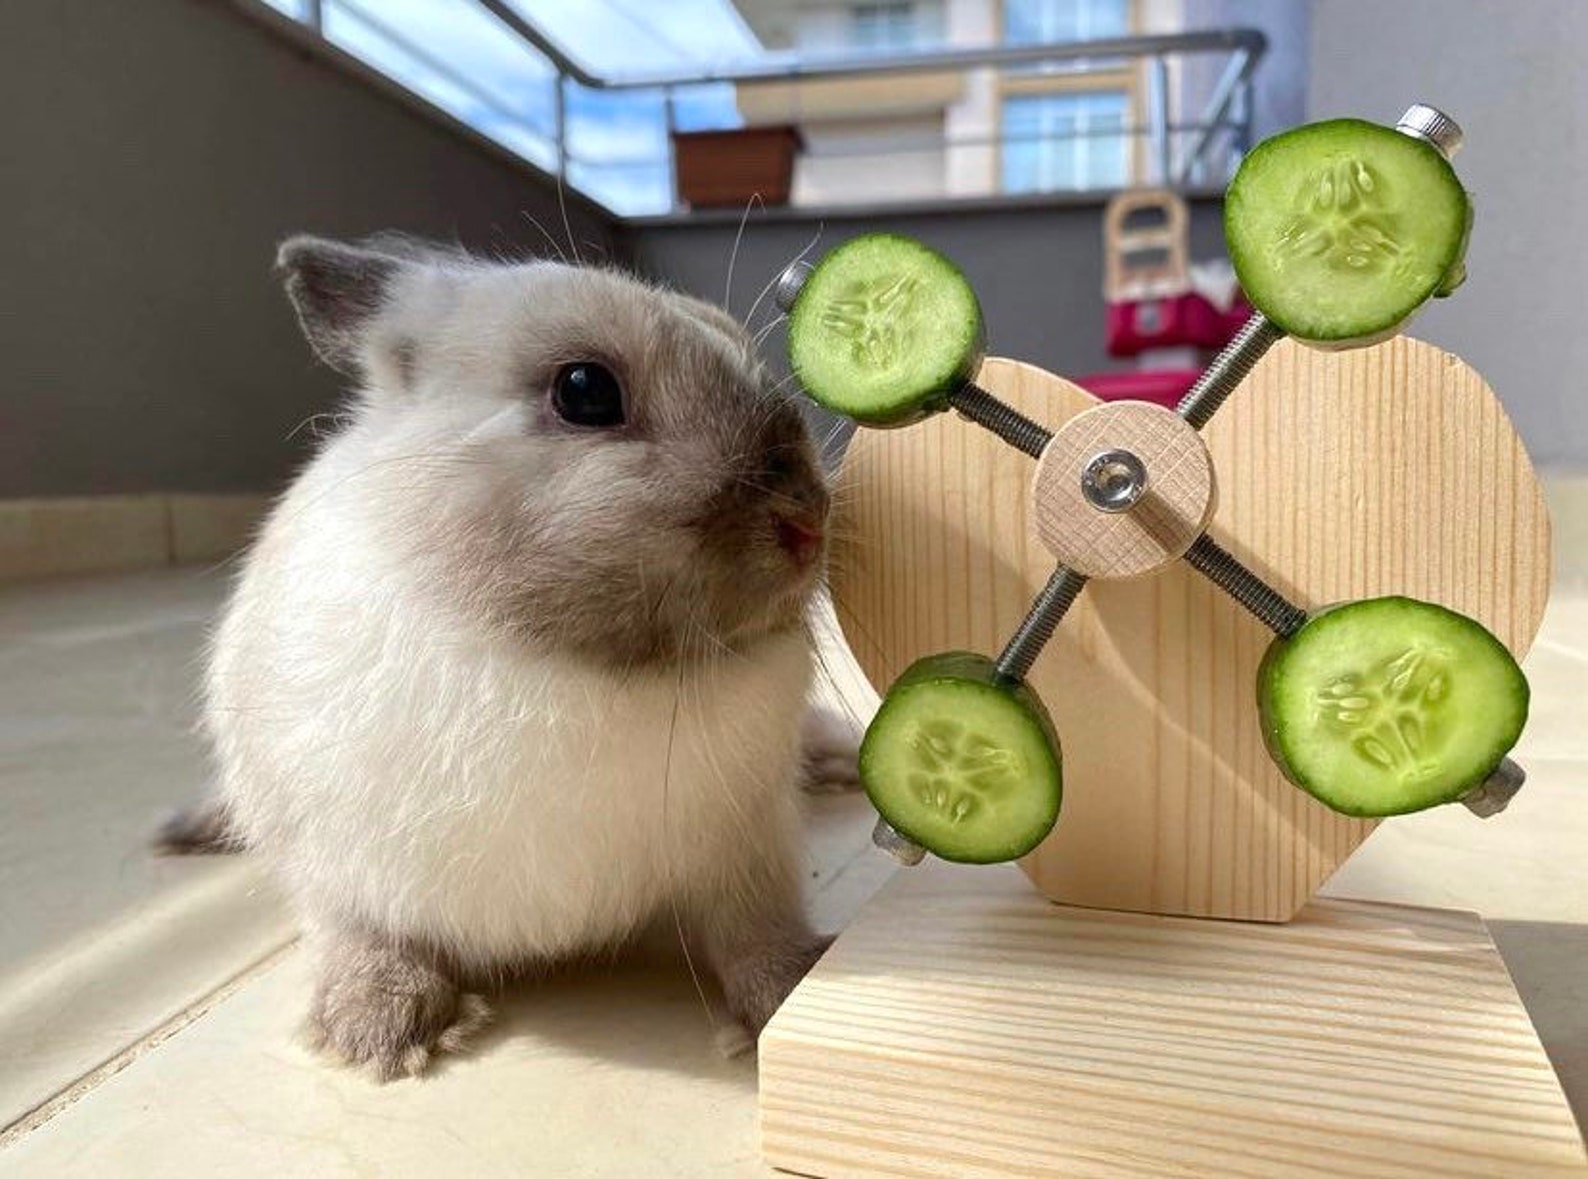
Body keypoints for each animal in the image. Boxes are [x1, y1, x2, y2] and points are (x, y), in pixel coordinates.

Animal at [164, 234, 857, 1080]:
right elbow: (357, 931)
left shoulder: (748, 849)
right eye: (585, 390)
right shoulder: (333, 864)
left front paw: (786, 996)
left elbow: (755, 931)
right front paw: (380, 1030)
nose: (808, 521)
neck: (567, 663)